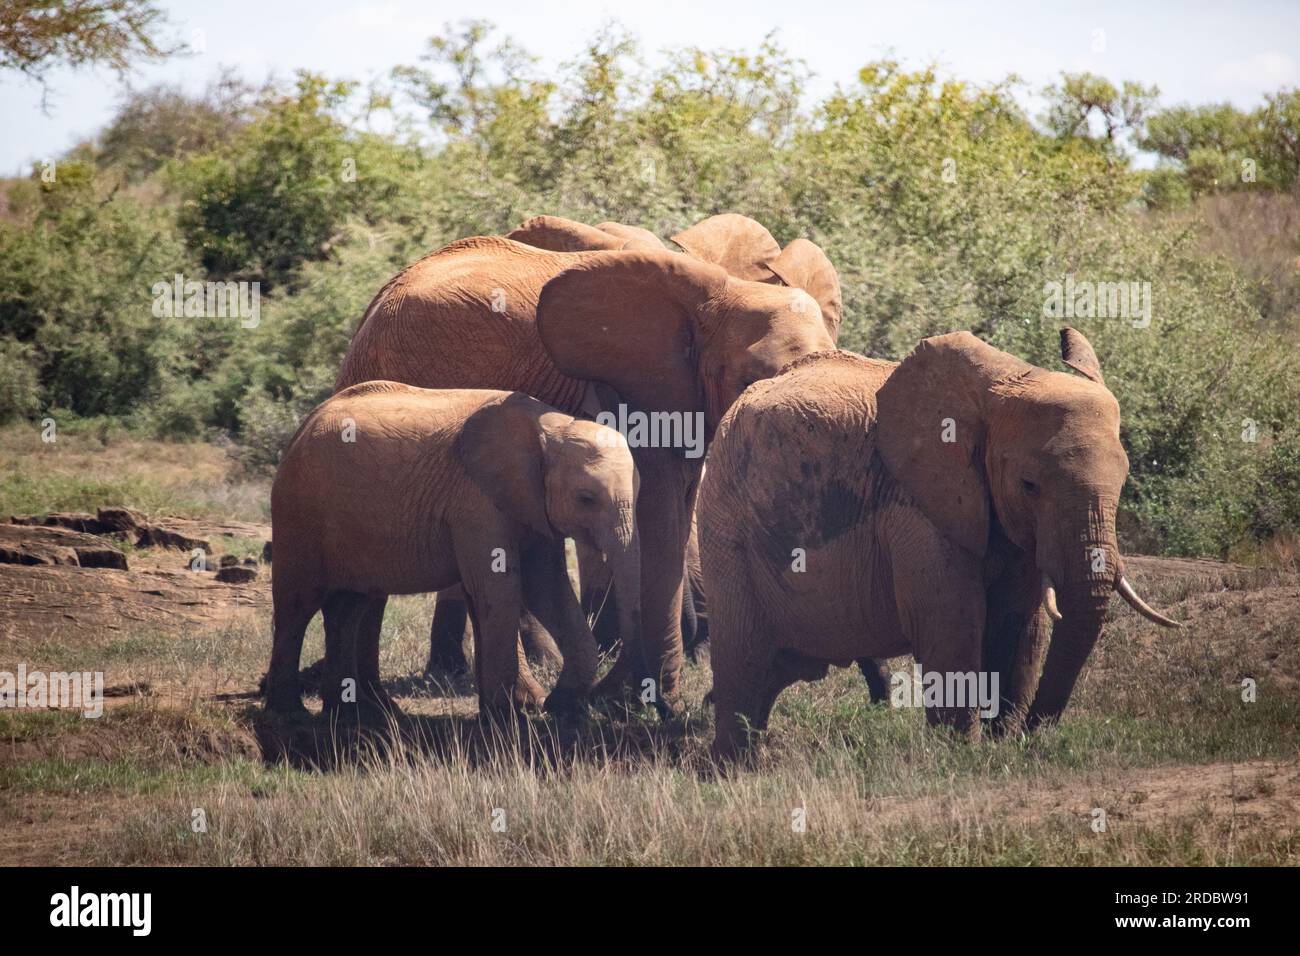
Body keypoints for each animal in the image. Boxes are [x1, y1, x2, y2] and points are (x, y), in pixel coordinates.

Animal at [264, 382, 641, 719]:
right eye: (586, 498)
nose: (603, 698)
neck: (551, 426)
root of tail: (303, 427)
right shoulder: (476, 501)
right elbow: (501, 591)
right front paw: (507, 717)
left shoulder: (532, 505)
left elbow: (547, 589)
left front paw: (561, 708)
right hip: (299, 511)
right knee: (298, 604)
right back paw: (291, 715)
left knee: (348, 608)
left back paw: (350, 715)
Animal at [335, 236, 835, 712]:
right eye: (748, 380)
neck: (722, 294)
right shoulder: (632, 391)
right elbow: (659, 516)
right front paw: (636, 701)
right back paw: (521, 698)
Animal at [699, 330, 1184, 759]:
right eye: (1029, 485)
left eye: (1123, 480)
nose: (1032, 736)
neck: (1005, 384)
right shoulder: (917, 511)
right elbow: (952, 621)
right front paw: (963, 752)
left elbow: (1020, 625)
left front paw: (1000, 743)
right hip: (726, 529)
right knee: (743, 661)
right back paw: (733, 768)